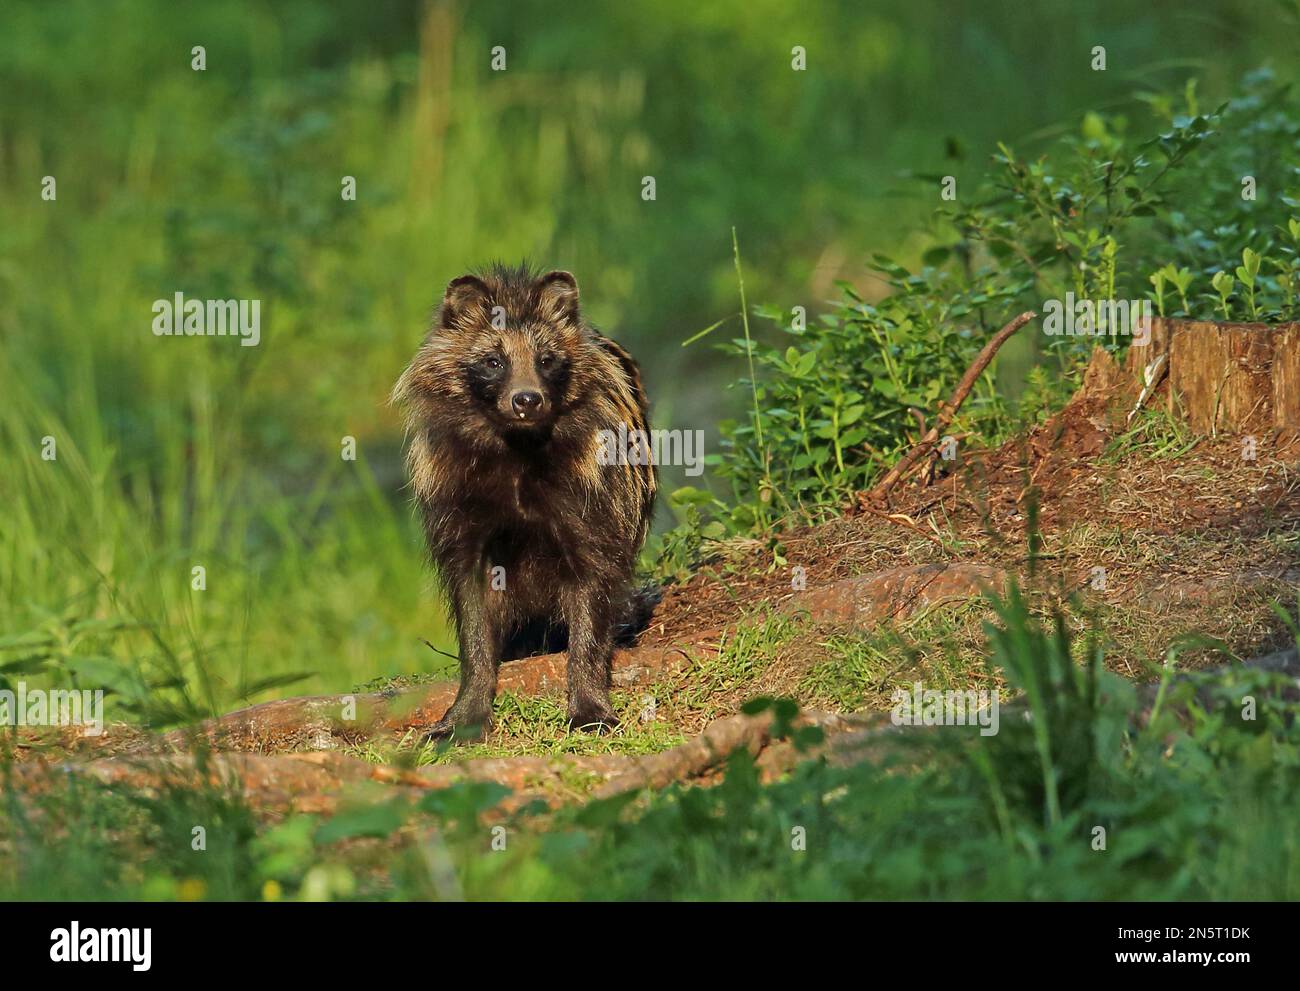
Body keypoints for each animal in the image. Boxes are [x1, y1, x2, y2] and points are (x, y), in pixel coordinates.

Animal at [392, 264, 658, 739]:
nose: (526, 399)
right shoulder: (461, 521)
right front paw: (464, 713)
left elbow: (590, 610)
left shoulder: (591, 511)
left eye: (547, 359)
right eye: (492, 361)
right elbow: (474, 626)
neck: (516, 452)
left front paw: (590, 706)